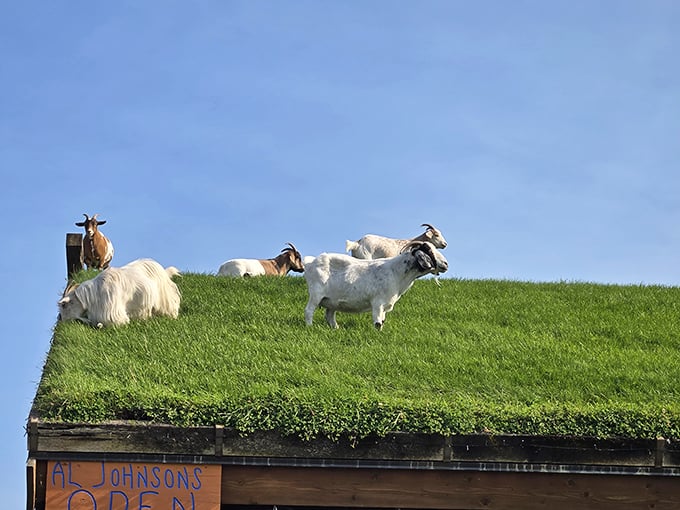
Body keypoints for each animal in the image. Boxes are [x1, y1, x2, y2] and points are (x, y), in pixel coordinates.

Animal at [304, 241, 448, 330]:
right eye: (428, 251)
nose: (445, 264)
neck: (396, 272)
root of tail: (310, 262)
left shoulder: (385, 306)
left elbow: (382, 321)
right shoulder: (378, 303)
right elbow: (378, 323)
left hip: (332, 301)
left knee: (329, 316)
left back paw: (336, 329)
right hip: (316, 293)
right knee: (309, 310)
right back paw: (309, 326)